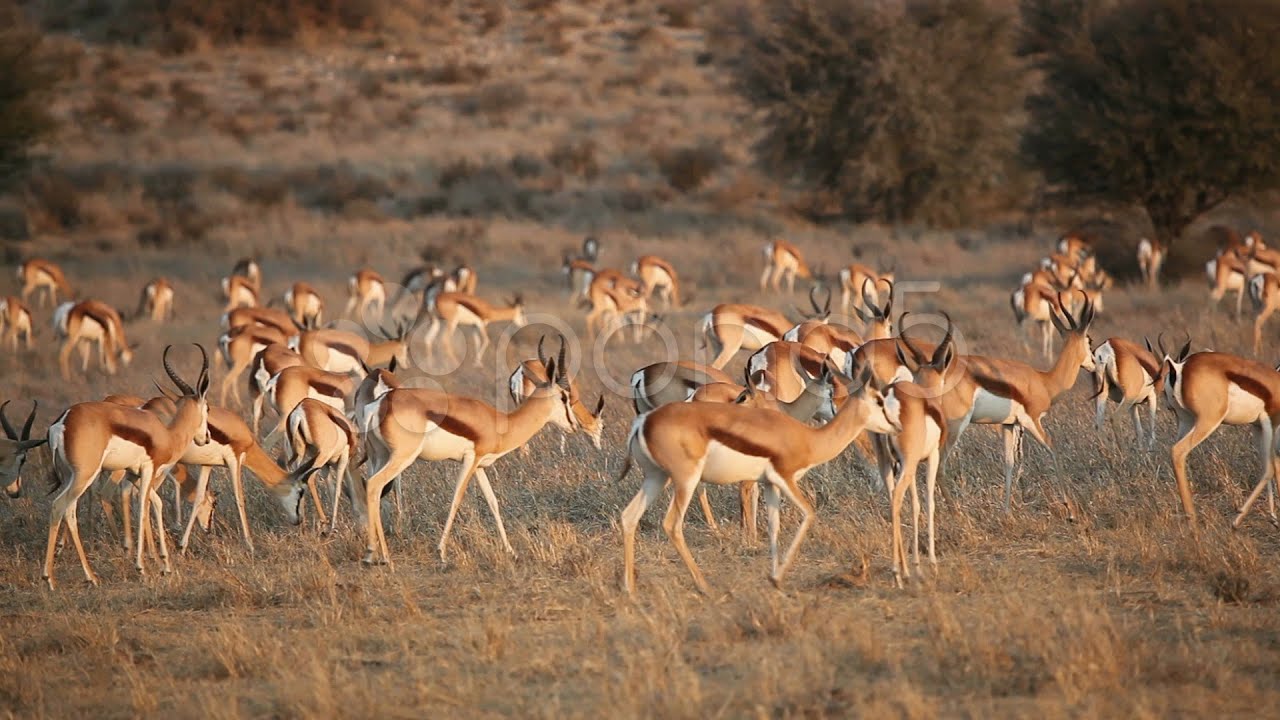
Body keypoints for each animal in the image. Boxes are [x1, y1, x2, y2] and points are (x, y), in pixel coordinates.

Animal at [42, 345, 211, 587]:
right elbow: (142, 506)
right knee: (60, 506)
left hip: (68, 477)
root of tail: (63, 422)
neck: (166, 433)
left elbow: (155, 503)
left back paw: (87, 576)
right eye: (207, 408)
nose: (206, 437)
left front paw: (164, 565)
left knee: (69, 511)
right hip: (85, 475)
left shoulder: (133, 475)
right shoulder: (149, 471)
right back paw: (54, 578)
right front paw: (142, 567)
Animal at [359, 336, 580, 566]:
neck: (500, 423)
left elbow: (493, 502)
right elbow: (456, 499)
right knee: (375, 485)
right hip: (401, 457)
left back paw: (376, 553)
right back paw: (379, 556)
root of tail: (380, 403)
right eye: (564, 397)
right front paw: (441, 552)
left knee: (371, 487)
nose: (574, 425)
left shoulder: (480, 466)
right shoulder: (470, 460)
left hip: (379, 456)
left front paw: (511, 551)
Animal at [618, 363, 899, 594]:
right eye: (834, 390)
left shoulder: (767, 480)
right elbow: (773, 504)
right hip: (684, 476)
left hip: (660, 477)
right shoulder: (774, 477)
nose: (894, 424)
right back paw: (705, 579)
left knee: (632, 516)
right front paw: (752, 542)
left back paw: (631, 587)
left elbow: (769, 518)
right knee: (676, 519)